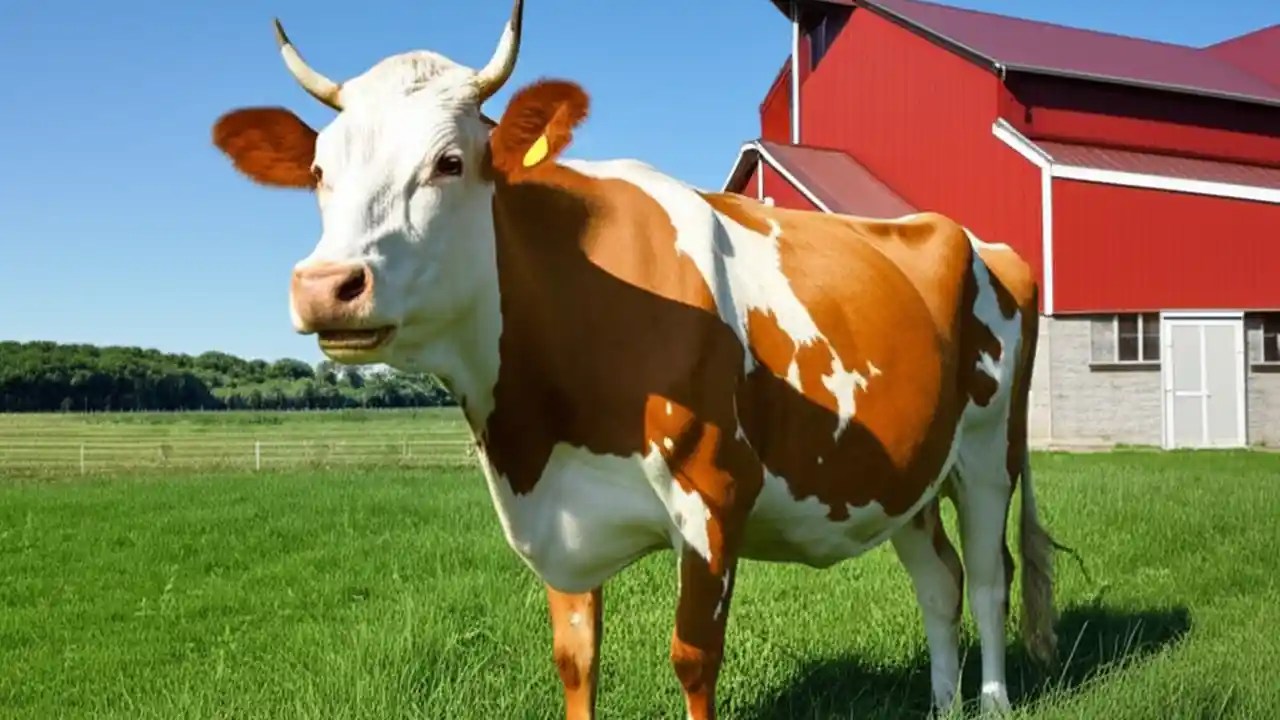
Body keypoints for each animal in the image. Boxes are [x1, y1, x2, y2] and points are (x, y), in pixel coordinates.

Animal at [210, 1, 1058, 717]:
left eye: (449, 162)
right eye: (319, 172)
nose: (326, 286)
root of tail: (969, 236)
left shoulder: (715, 493)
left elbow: (693, 657)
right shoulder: (558, 519)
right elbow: (576, 659)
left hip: (989, 452)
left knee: (990, 577)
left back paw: (990, 703)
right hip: (906, 476)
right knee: (941, 581)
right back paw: (942, 705)